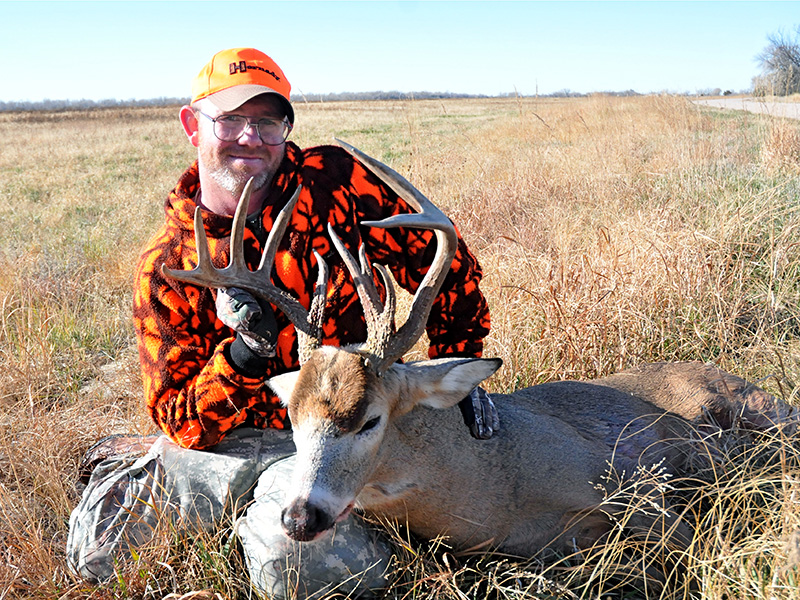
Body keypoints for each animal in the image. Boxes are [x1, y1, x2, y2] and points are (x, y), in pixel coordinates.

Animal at [163, 140, 798, 561]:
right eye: (291, 418)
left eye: (369, 420)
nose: (299, 517)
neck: (493, 491)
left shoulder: (636, 488)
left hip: (760, 423)